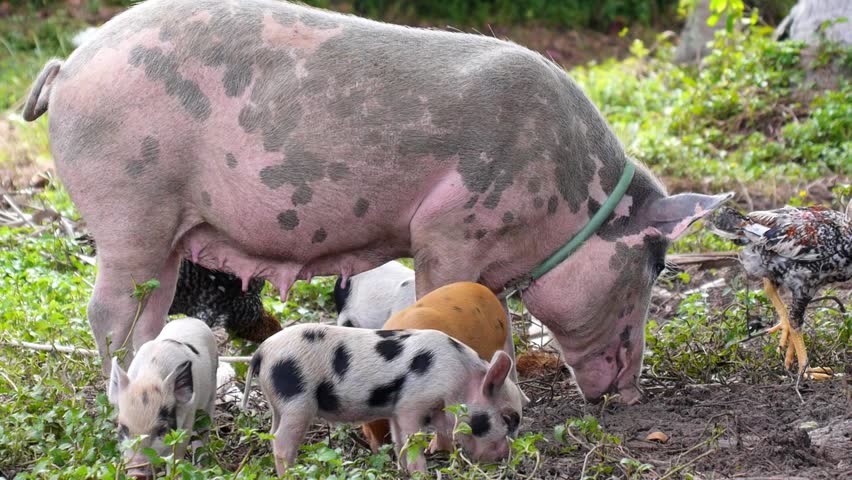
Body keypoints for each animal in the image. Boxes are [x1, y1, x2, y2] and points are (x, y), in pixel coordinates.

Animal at [24, 0, 730, 404]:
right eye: (653, 266)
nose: (631, 394)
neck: (565, 198)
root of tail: (71, 63)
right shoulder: (450, 230)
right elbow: (450, 302)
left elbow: (495, 317)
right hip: (128, 206)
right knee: (107, 314)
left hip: (163, 231)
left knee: (149, 312)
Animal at [108, 317, 218, 478]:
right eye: (124, 428)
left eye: (161, 429)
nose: (136, 471)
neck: (150, 375)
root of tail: (191, 319)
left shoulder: (188, 415)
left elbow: (177, 455)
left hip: (211, 392)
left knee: (202, 434)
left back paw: (201, 468)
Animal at [242, 323, 524, 474]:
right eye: (508, 418)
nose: (505, 455)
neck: (458, 378)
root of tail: (262, 351)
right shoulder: (412, 403)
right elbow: (412, 440)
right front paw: (422, 473)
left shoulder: (395, 410)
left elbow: (399, 442)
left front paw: (402, 471)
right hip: (296, 401)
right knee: (282, 443)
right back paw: (292, 474)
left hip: (278, 404)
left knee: (272, 434)